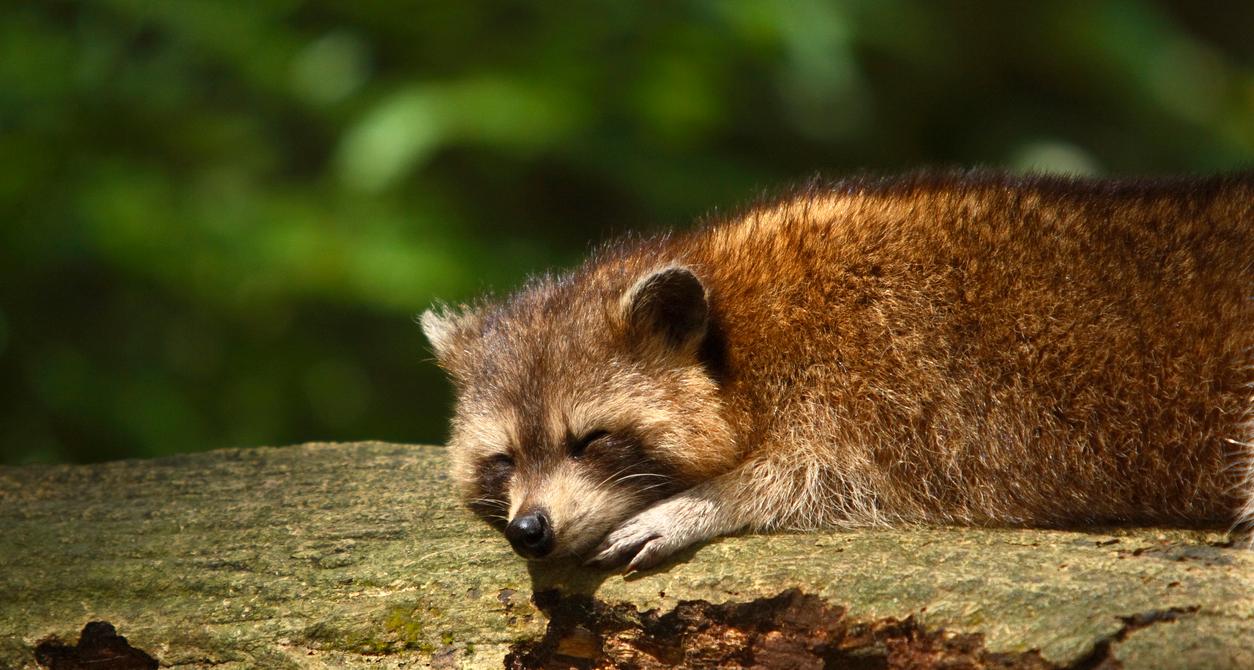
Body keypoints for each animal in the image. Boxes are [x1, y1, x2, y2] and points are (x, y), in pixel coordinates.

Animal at [422, 172, 1254, 572]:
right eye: (503, 459)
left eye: (591, 440)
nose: (530, 530)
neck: (740, 337)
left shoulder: (892, 380)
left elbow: (821, 477)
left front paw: (712, 499)